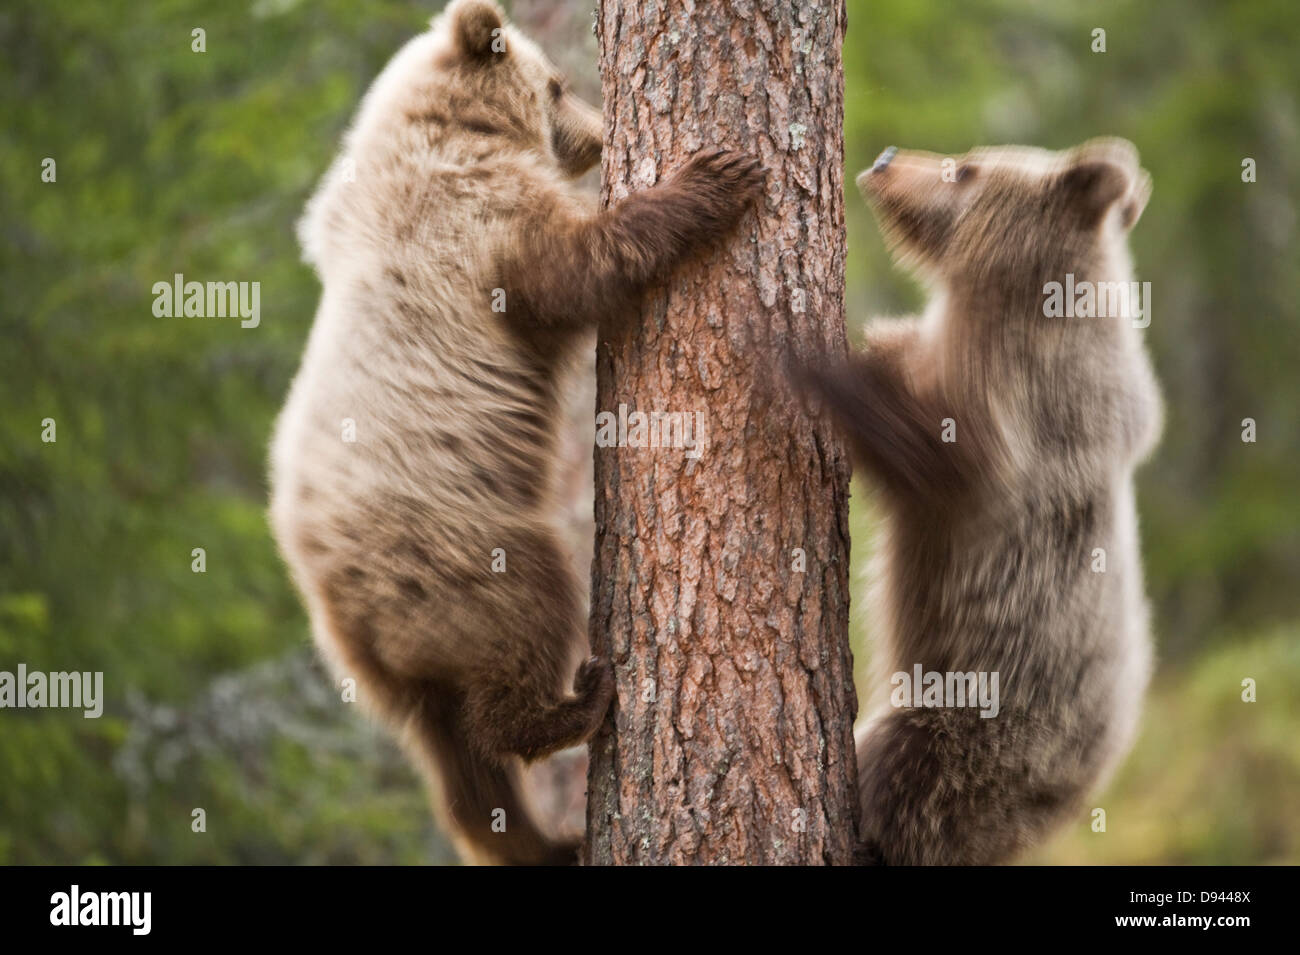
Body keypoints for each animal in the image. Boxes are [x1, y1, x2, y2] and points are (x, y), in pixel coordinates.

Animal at [269, 0, 763, 865]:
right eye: (558, 84)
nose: (599, 134)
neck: (445, 128)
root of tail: (338, 593)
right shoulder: (475, 222)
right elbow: (581, 265)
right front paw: (714, 177)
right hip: (461, 547)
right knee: (525, 618)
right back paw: (578, 701)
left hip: (387, 658)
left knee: (455, 756)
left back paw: (541, 837)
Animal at [795, 139, 1162, 864]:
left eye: (966, 169)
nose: (886, 157)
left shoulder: (1024, 413)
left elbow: (924, 447)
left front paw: (805, 354)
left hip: (976, 731)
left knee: (906, 779)